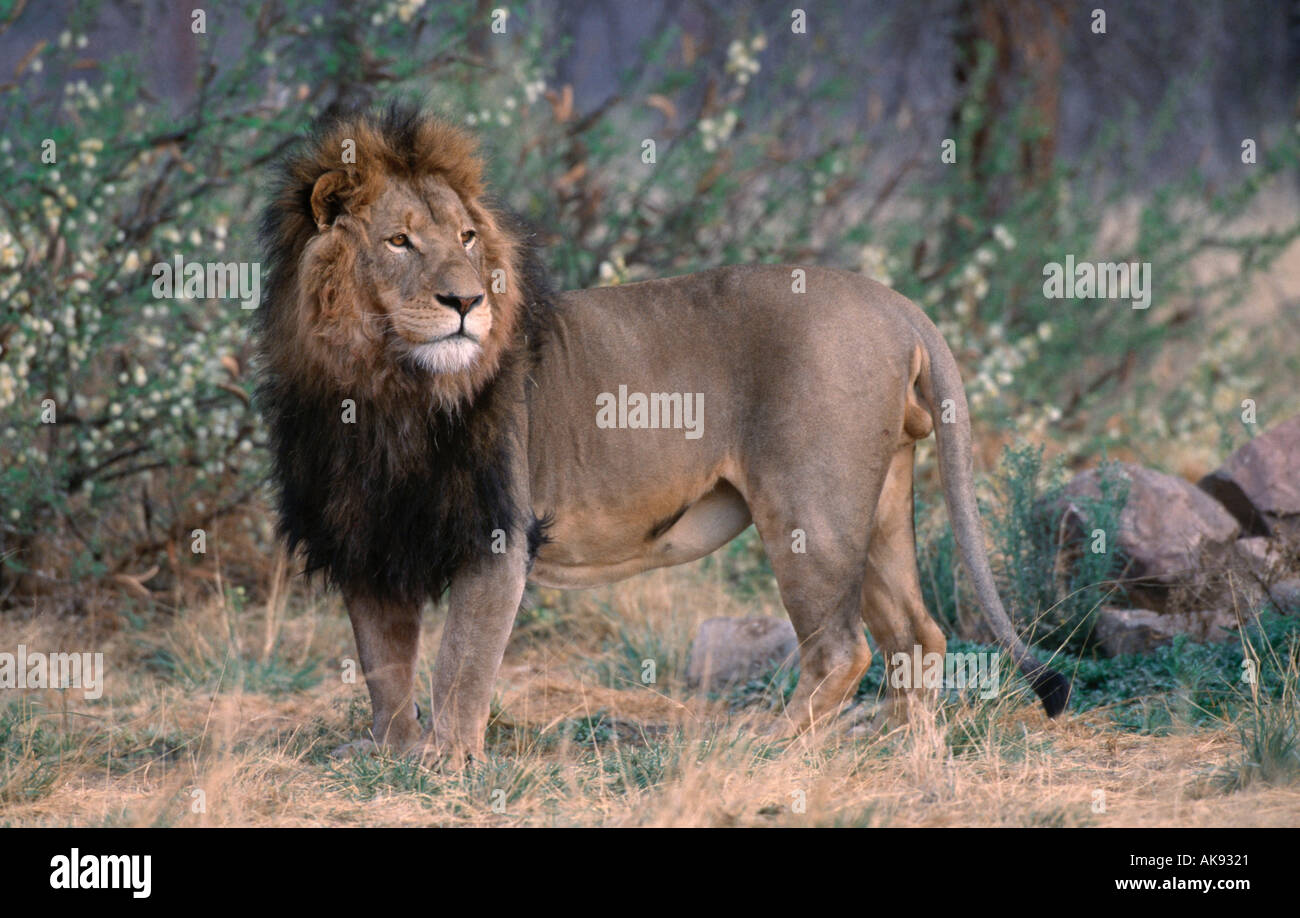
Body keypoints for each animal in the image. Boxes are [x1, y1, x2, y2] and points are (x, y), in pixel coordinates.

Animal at [257, 105, 1070, 762]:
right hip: (878, 507)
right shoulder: (362, 541)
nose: (467, 301)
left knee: (845, 650)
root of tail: (897, 302)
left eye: (465, 237)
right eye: (398, 241)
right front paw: (393, 761)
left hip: (811, 511)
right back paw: (906, 754)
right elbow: (384, 669)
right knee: (917, 634)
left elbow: (461, 666)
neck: (381, 390)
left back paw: (766, 749)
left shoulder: (497, 534)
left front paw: (447, 766)